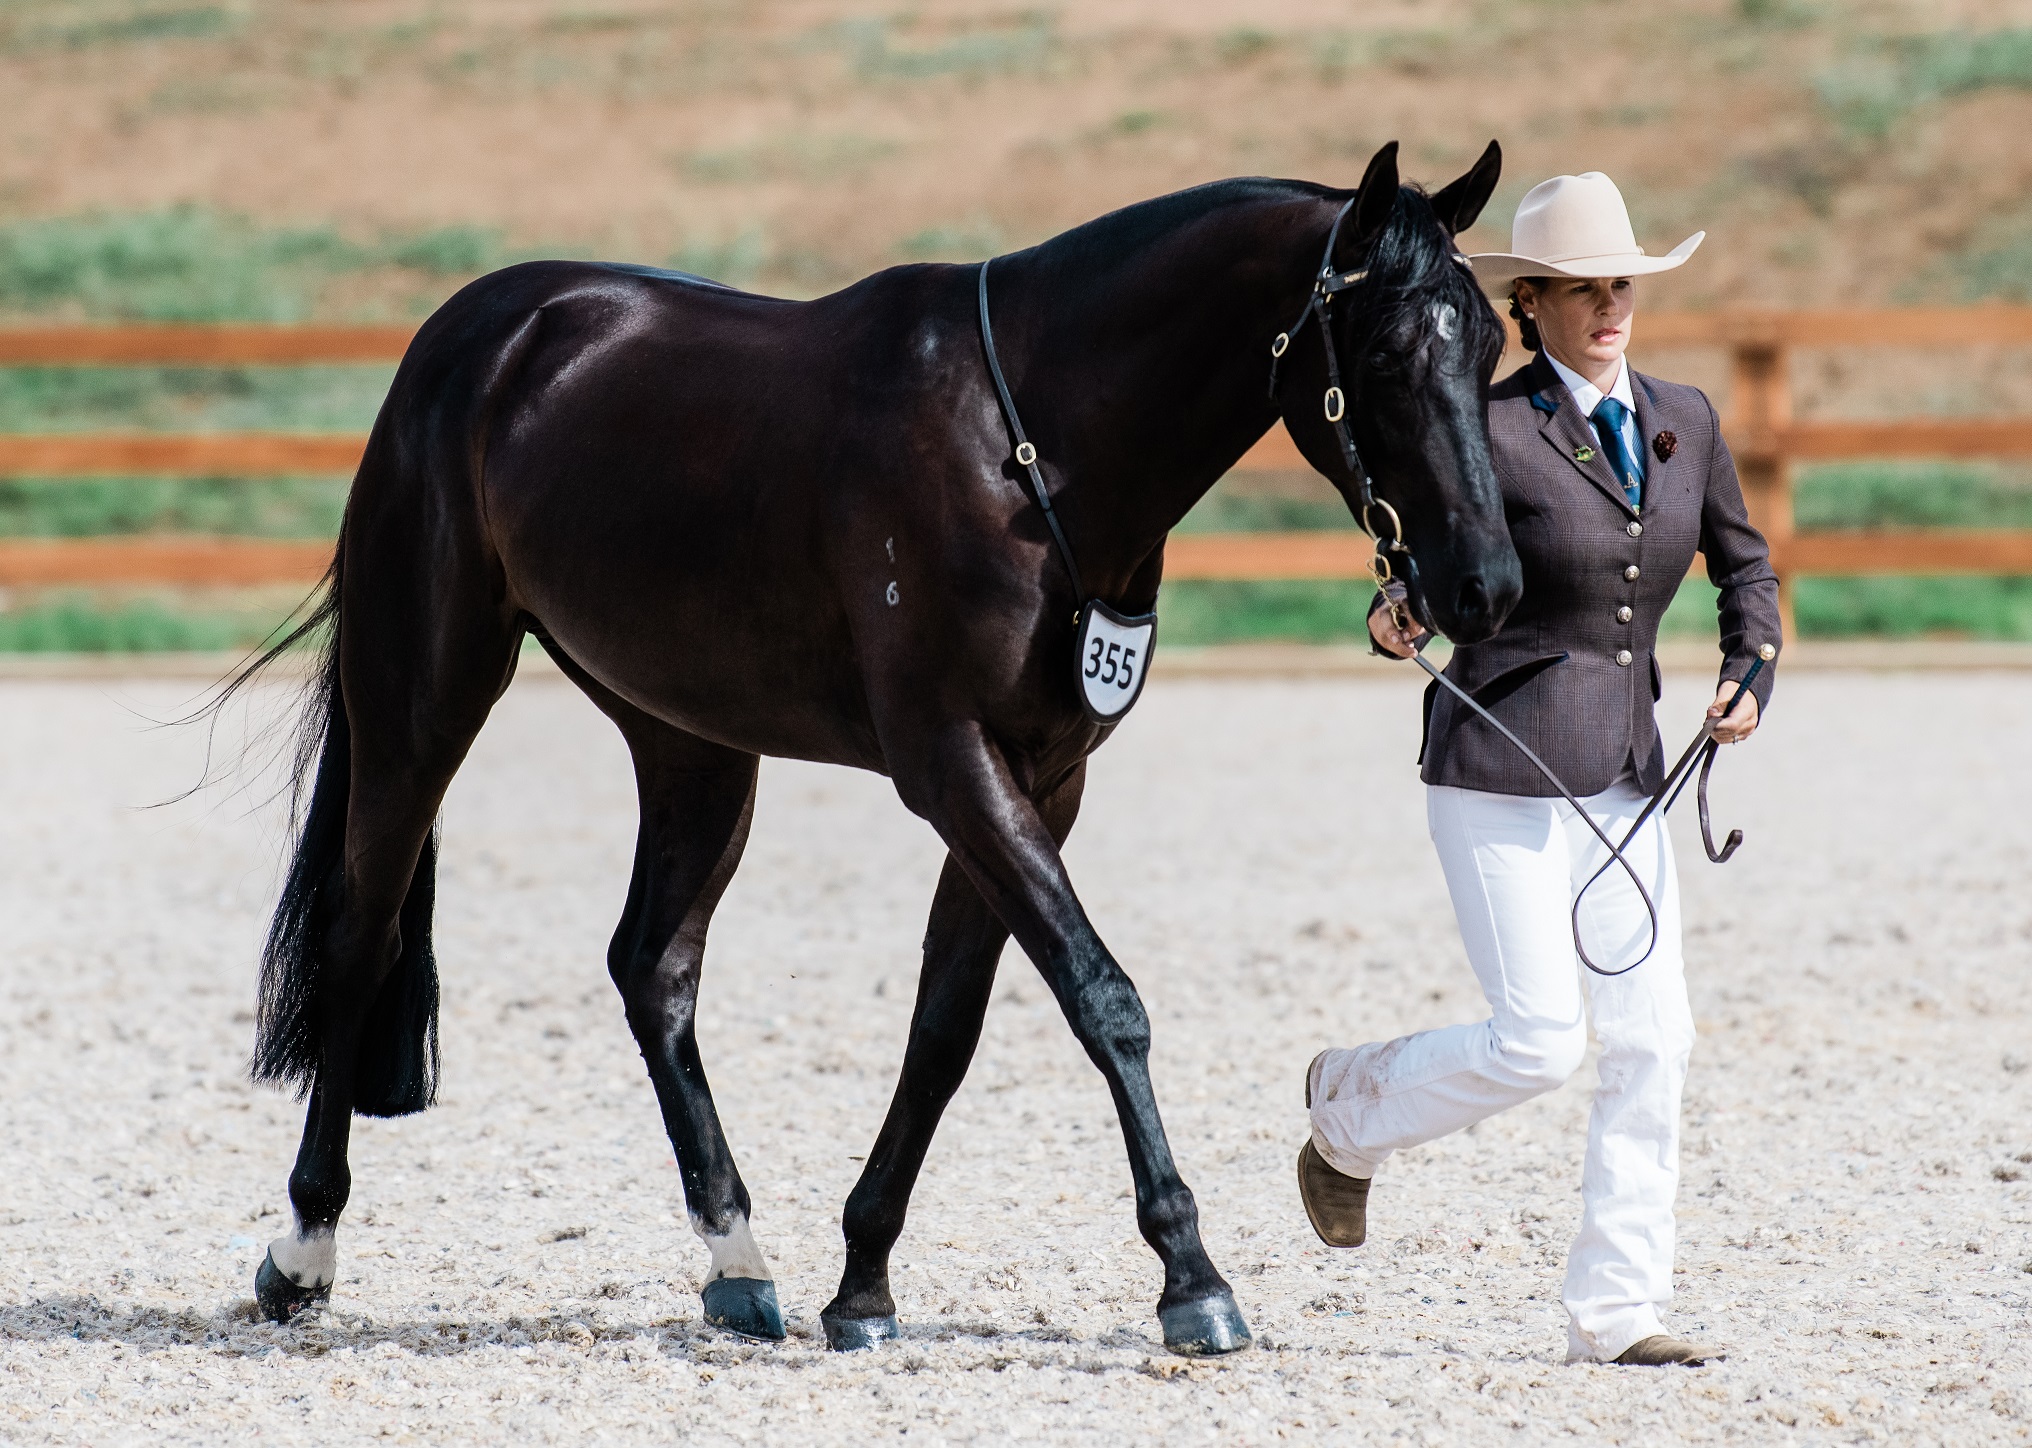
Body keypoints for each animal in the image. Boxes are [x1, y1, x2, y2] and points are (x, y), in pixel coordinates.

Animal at [232, 138, 1523, 1357]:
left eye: (1489, 347)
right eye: (1388, 355)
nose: (1486, 583)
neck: (1027, 442)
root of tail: (473, 334)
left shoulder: (1042, 778)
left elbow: (945, 1027)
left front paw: (862, 1281)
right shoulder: (951, 760)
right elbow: (1101, 995)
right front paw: (1192, 1278)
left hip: (691, 741)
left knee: (653, 966)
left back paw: (737, 1262)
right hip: (424, 700)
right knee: (360, 938)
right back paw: (303, 1250)